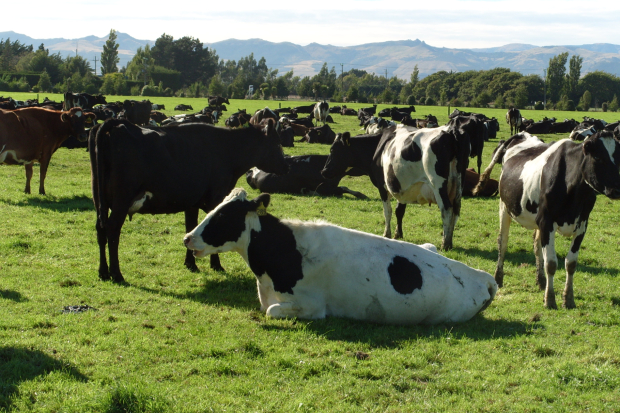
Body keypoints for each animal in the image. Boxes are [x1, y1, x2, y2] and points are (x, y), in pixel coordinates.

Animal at [89, 117, 288, 282]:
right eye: (278, 144)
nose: (286, 166)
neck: (226, 149)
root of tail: (117, 124)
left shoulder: (191, 202)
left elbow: (190, 227)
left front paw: (190, 264)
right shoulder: (216, 198)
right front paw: (216, 265)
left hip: (99, 201)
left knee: (100, 229)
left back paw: (103, 272)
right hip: (121, 200)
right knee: (112, 230)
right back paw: (116, 274)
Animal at [472, 130, 620, 308]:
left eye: (619, 156)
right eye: (598, 157)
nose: (617, 190)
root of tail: (521, 134)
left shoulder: (582, 224)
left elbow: (571, 263)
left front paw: (568, 299)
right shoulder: (547, 222)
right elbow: (550, 263)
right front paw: (550, 299)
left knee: (536, 246)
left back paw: (541, 281)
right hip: (504, 206)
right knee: (503, 242)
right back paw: (499, 278)